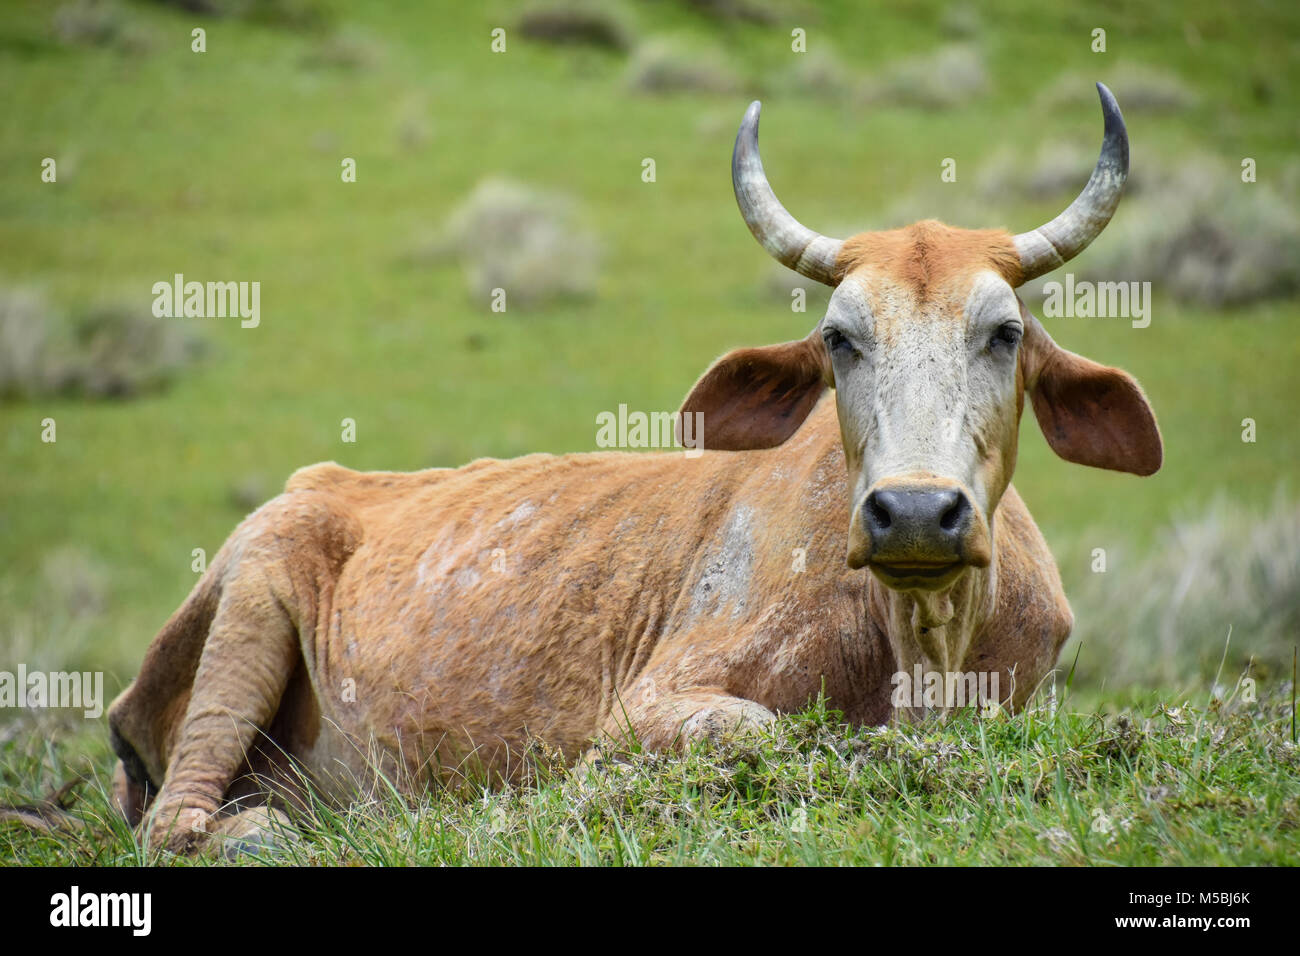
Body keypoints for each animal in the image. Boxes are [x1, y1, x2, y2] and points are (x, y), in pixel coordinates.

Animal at [107, 84, 1161, 854]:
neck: (925, 641)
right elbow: (767, 731)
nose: (911, 512)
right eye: (839, 338)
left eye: (1004, 332)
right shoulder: (649, 705)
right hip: (250, 604)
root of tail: (314, 486)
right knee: (176, 821)